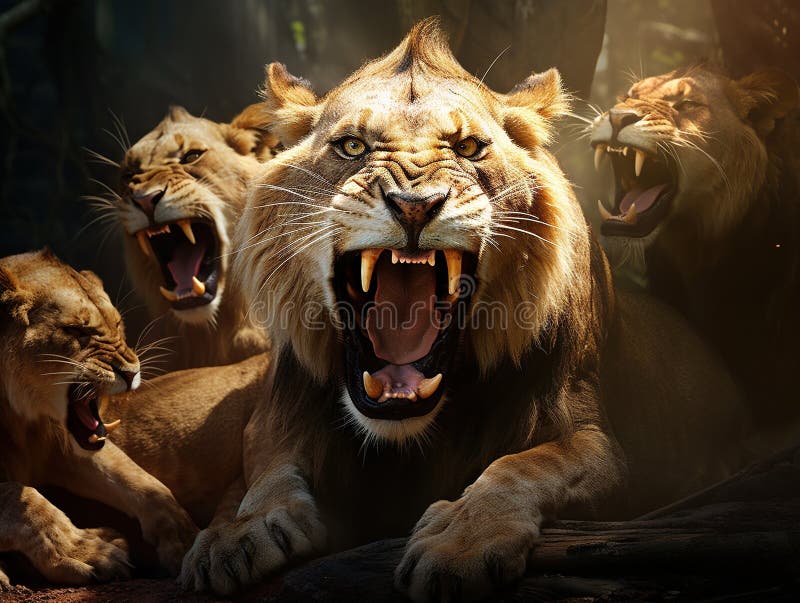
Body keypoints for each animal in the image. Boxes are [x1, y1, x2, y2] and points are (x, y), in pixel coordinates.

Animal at [179, 20, 749, 599]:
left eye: (470, 147)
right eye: (352, 146)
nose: (415, 205)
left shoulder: (598, 441)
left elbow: (525, 466)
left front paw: (460, 545)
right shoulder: (273, 421)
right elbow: (266, 474)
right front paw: (237, 534)